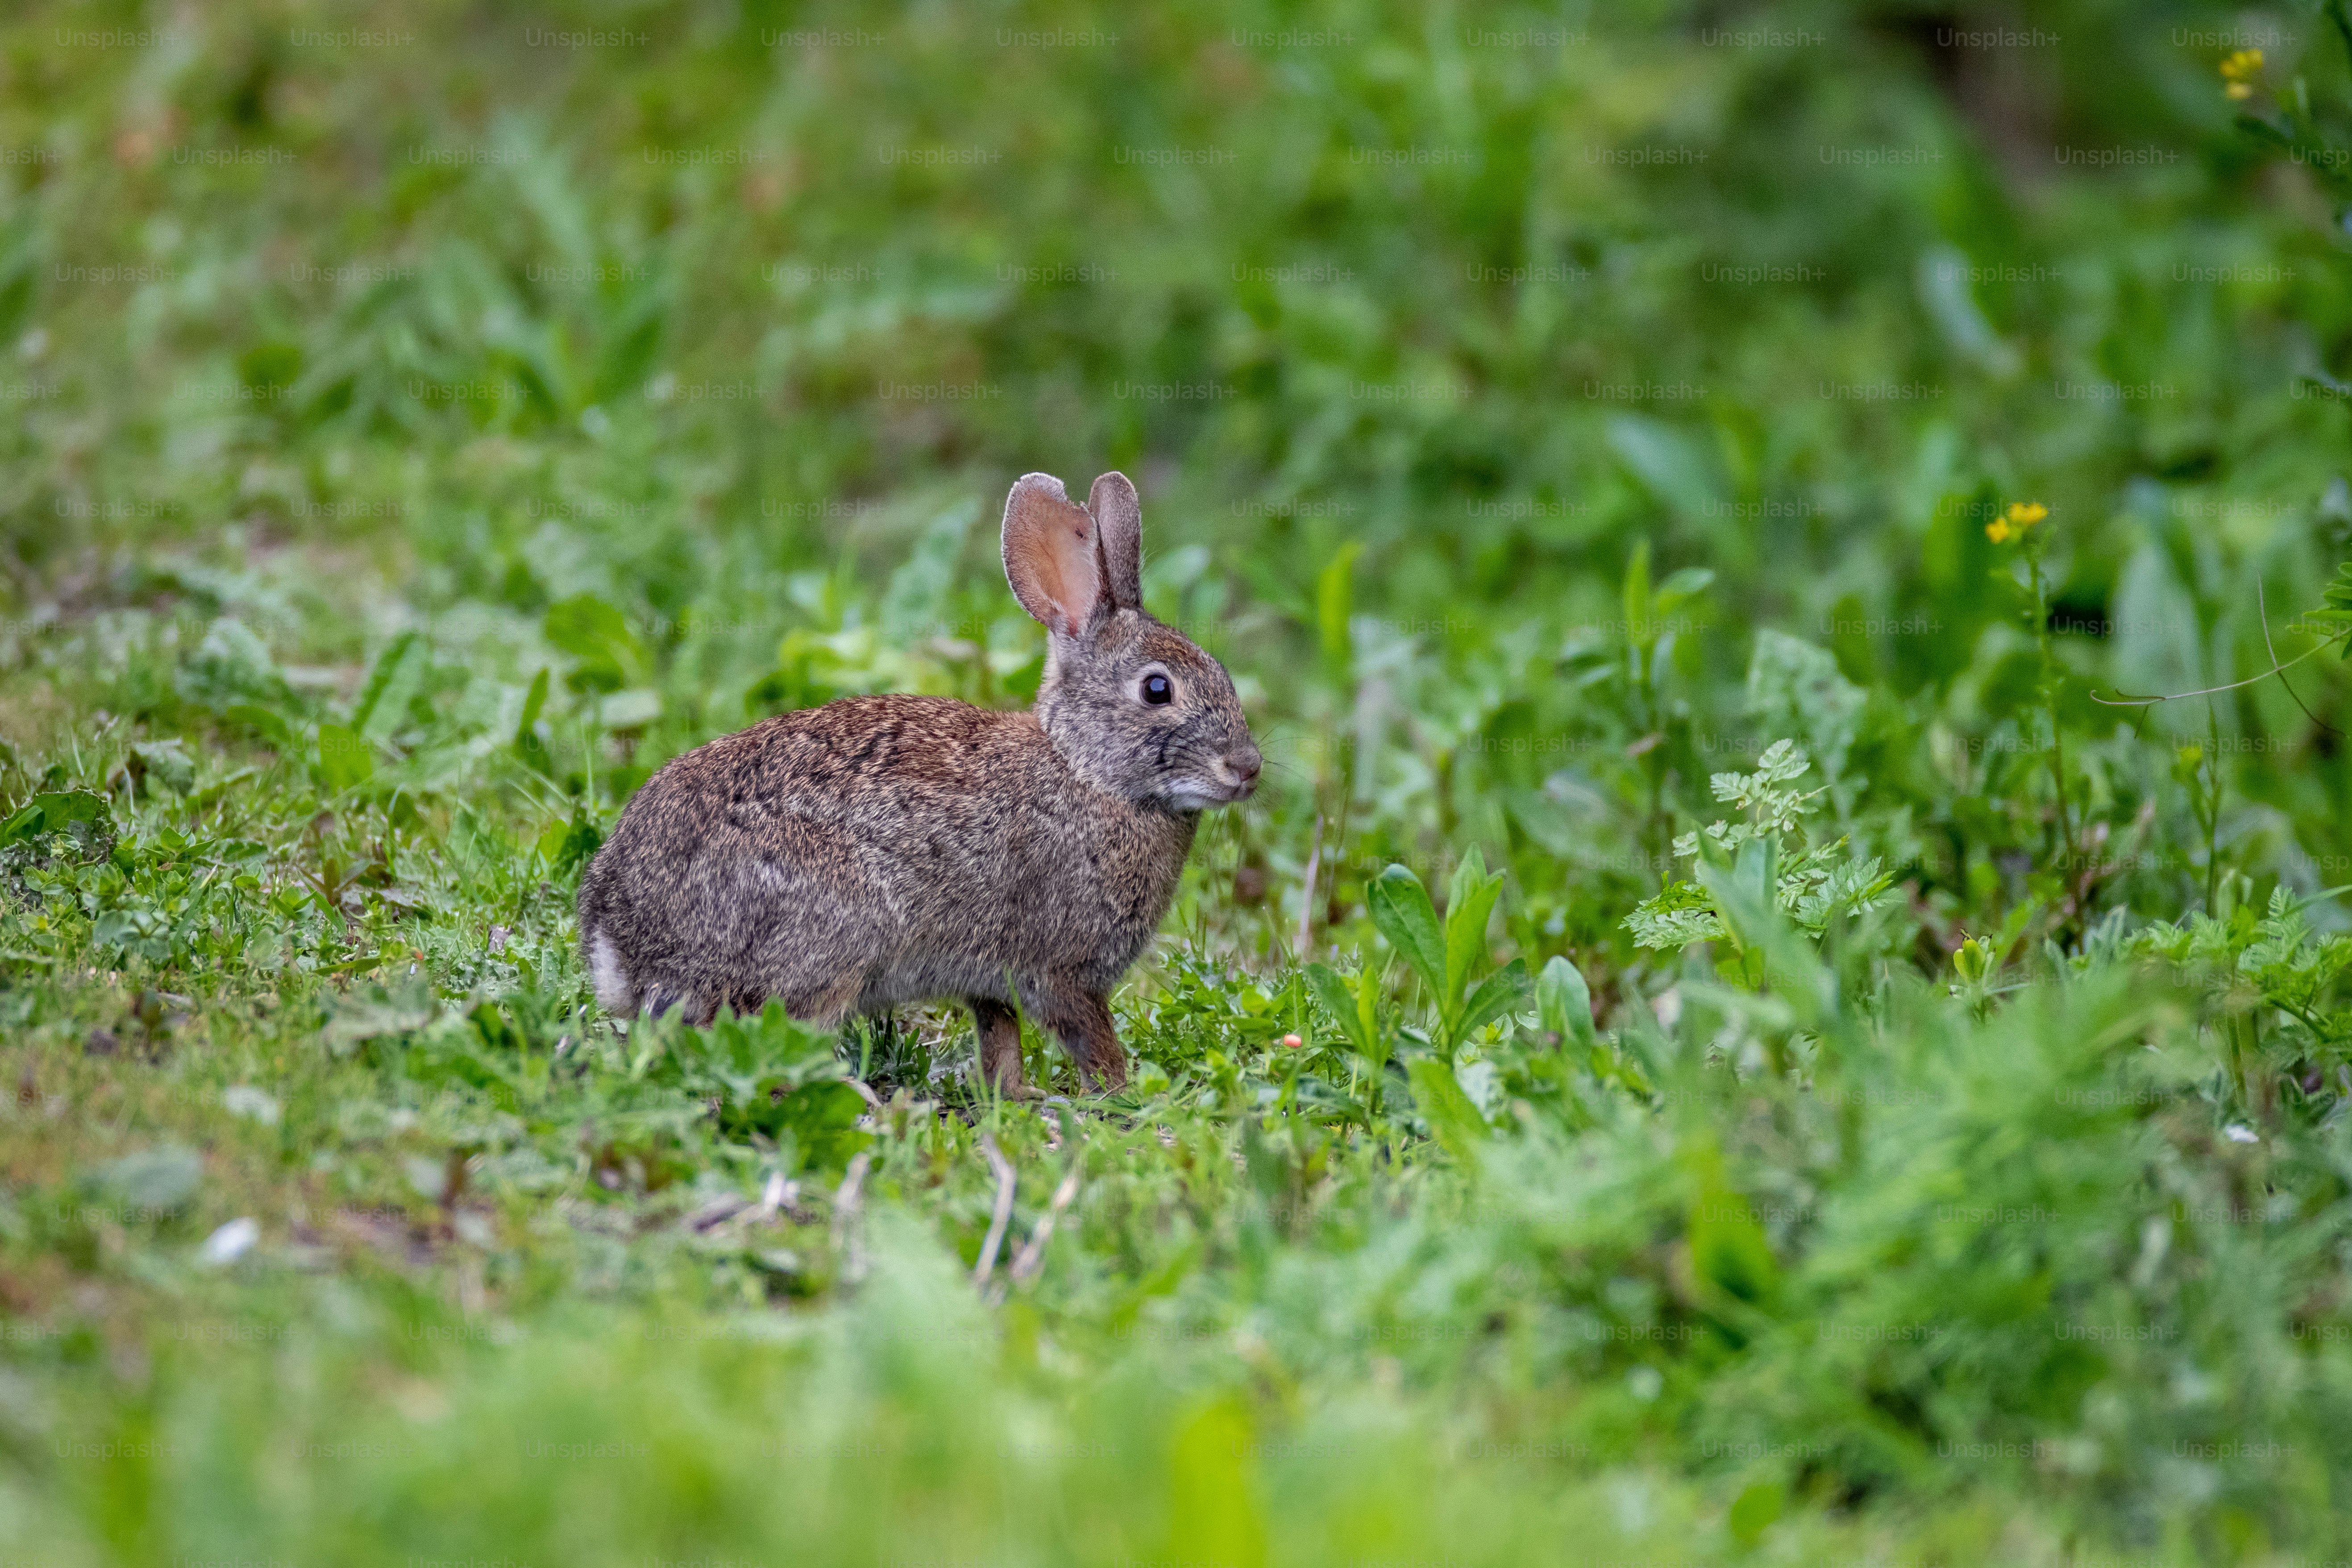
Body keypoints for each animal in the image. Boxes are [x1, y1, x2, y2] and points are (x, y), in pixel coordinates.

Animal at [576, 471, 1262, 1095]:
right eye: (1157, 689)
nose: (1247, 768)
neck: (1086, 771)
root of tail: (620, 937)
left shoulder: (992, 982)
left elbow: (999, 1038)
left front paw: (1015, 1096)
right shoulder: (1061, 971)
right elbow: (1090, 1039)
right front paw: (1125, 1095)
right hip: (830, 939)